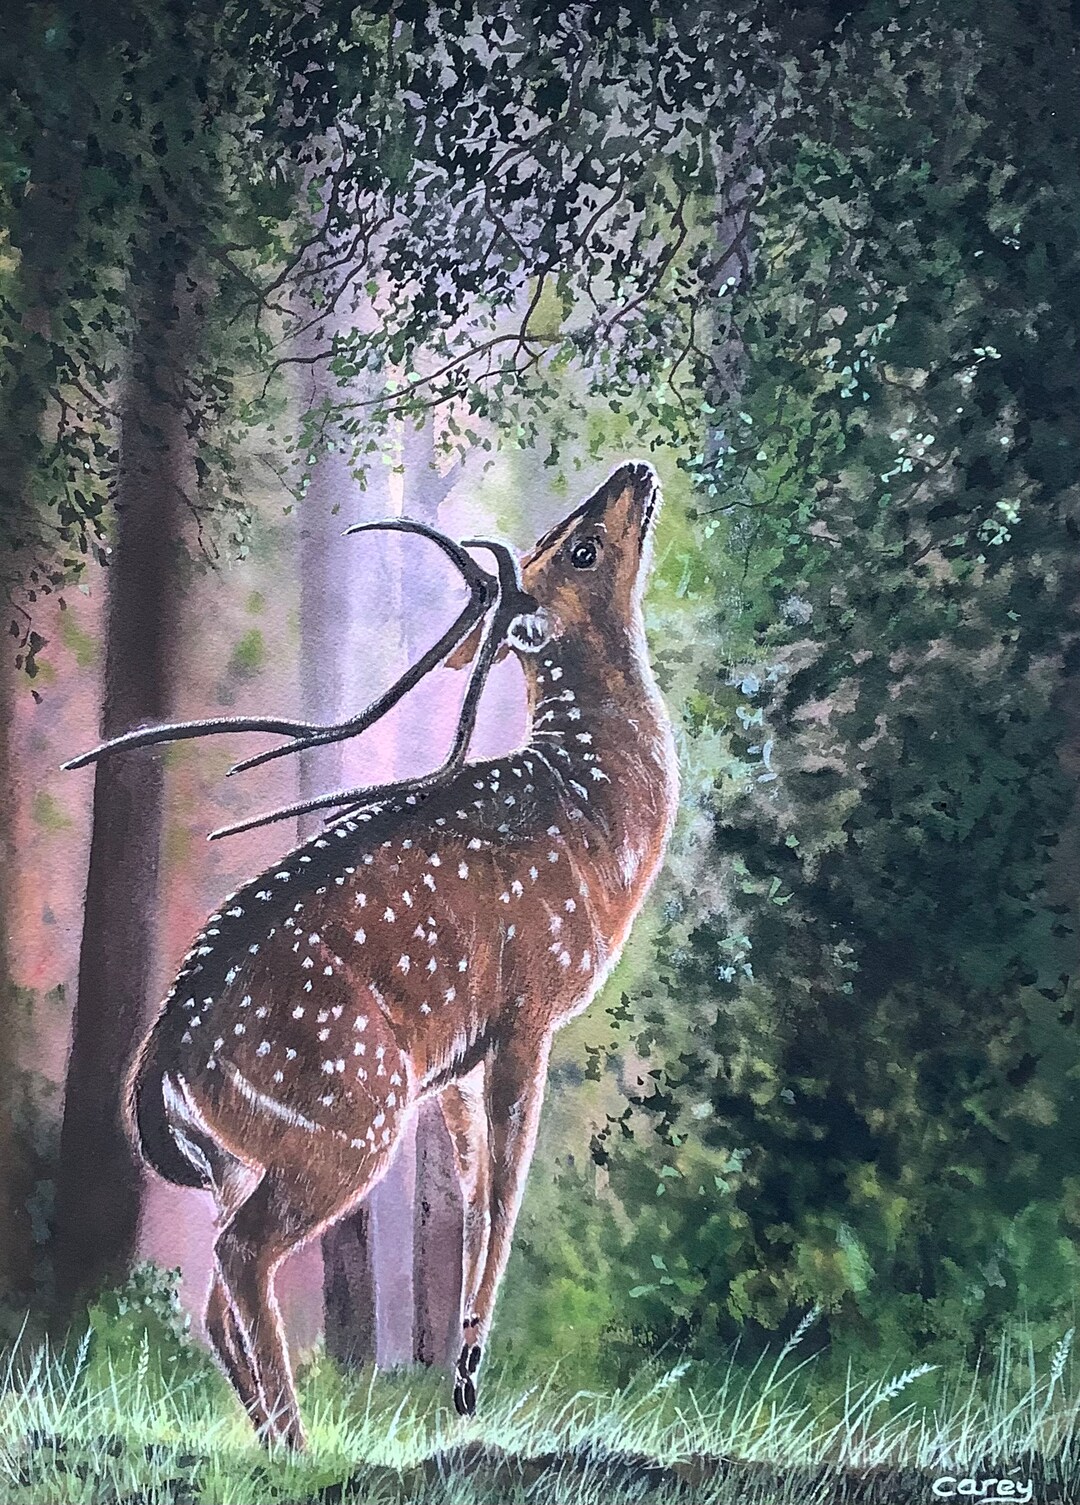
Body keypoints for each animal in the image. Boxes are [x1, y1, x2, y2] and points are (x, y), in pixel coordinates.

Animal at [64, 461, 678, 1448]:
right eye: (581, 546)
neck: (594, 821)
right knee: (240, 1254)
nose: (636, 469)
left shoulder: (456, 1064)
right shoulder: (528, 1009)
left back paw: (272, 1438)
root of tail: (159, 1063)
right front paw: (467, 1374)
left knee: (214, 1294)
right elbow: (505, 1193)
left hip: (245, 1156)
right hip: (348, 1115)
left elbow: (471, 1192)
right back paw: (296, 1442)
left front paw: (461, 1383)